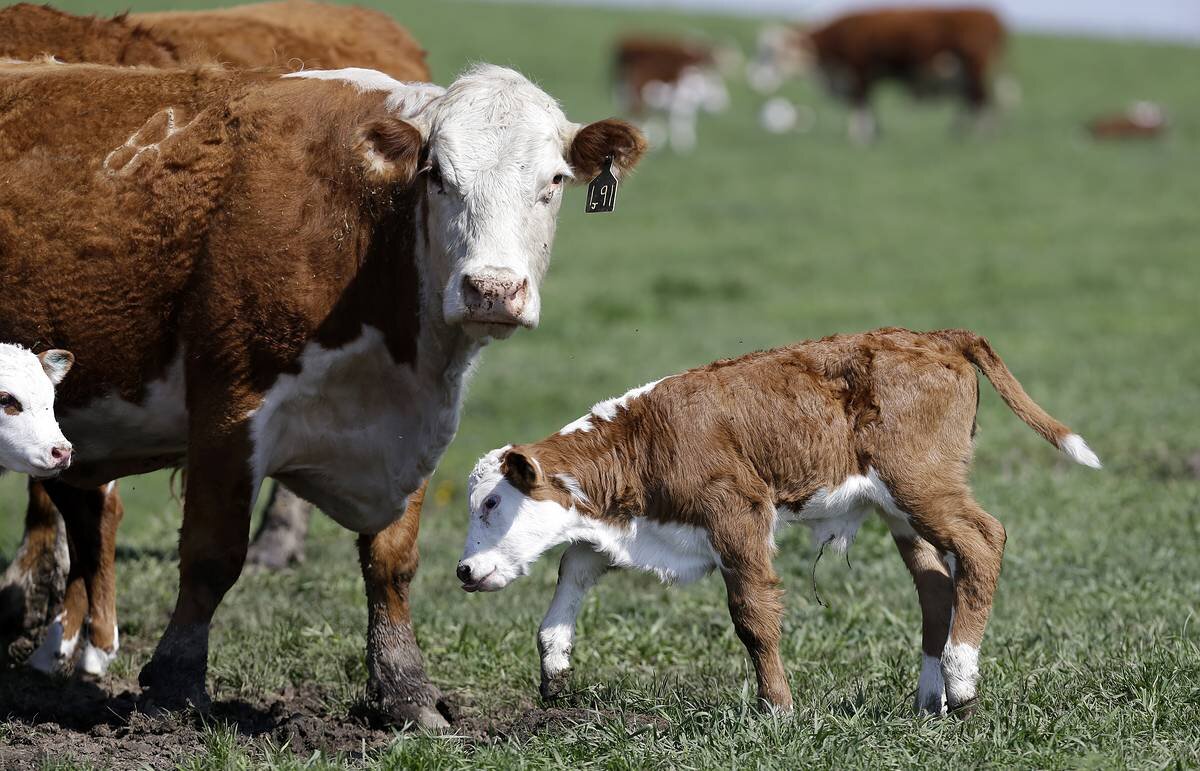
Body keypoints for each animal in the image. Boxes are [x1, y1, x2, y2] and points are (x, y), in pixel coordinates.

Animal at [463, 326, 1099, 715]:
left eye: (492, 503)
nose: (464, 571)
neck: (643, 442)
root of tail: (935, 336)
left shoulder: (736, 515)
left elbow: (752, 617)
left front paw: (778, 709)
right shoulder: (626, 530)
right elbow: (571, 571)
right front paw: (555, 671)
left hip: (922, 485)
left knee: (982, 541)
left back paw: (962, 681)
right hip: (900, 509)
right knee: (937, 584)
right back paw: (929, 698)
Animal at [748, 7, 1012, 143]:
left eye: (773, 54)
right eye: (762, 52)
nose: (757, 79)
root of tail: (991, 15)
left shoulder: (858, 71)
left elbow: (859, 105)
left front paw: (857, 137)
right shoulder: (865, 76)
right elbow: (869, 106)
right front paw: (874, 133)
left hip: (974, 68)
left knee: (980, 100)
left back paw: (979, 135)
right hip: (964, 74)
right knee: (974, 101)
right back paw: (962, 131)